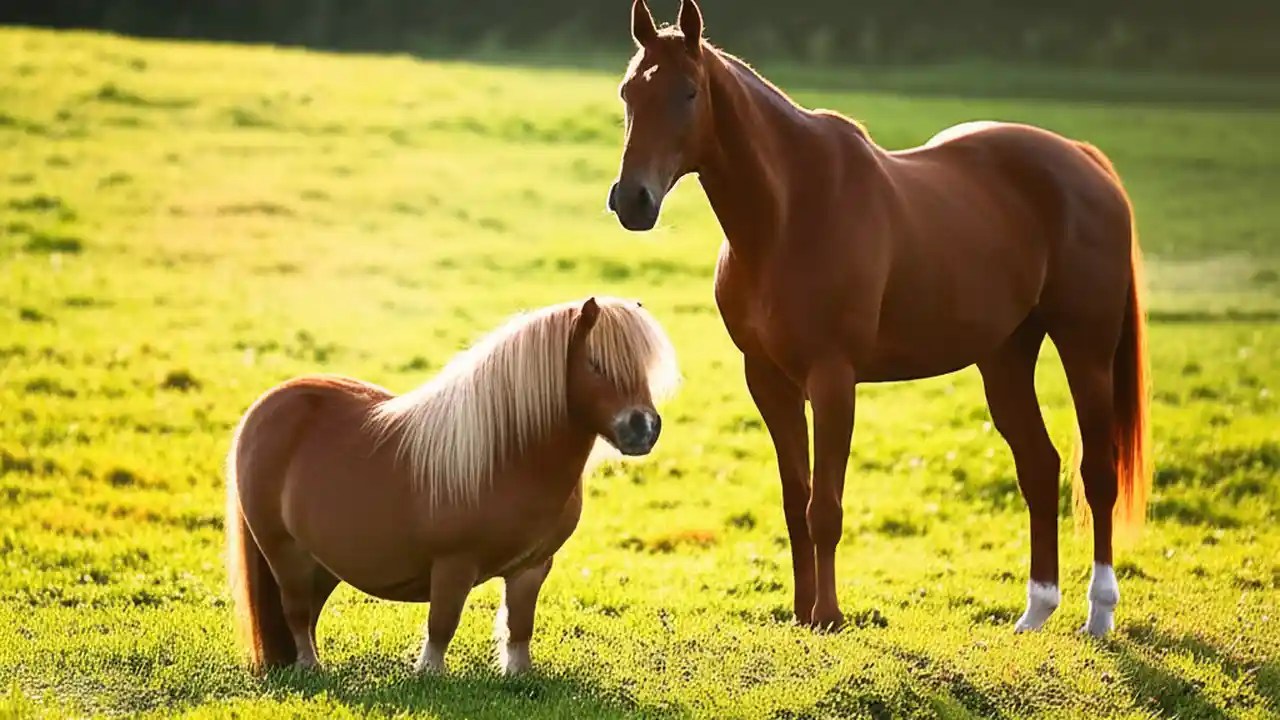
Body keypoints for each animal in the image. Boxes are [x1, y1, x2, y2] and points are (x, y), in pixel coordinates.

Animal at [225, 297, 679, 674]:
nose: (644, 428)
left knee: (308, 612)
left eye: (642, 368)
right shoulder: (453, 564)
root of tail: (265, 407)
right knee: (297, 612)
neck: (509, 456)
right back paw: (310, 668)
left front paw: (518, 676)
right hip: (284, 550)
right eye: (596, 363)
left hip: (321, 562)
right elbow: (442, 623)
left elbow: (520, 626)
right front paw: (430, 674)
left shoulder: (532, 567)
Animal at [607, 0, 1151, 637]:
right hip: (1005, 358)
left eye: (688, 93)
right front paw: (802, 613)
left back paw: (1099, 612)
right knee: (1040, 468)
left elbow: (824, 507)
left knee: (1098, 474)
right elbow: (795, 500)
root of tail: (1085, 162)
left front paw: (828, 615)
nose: (632, 201)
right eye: (629, 92)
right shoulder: (767, 379)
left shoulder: (833, 378)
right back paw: (1036, 611)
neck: (789, 214)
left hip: (1085, 352)